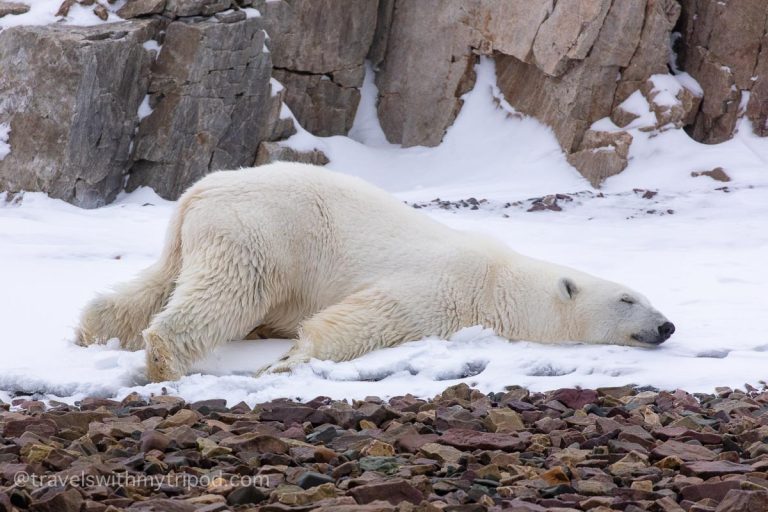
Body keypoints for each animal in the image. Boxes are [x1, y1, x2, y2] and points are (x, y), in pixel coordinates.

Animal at [76, 162, 675, 382]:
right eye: (627, 299)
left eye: (647, 297)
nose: (667, 325)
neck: (501, 283)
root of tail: (198, 192)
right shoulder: (446, 288)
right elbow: (369, 318)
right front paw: (289, 360)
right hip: (262, 233)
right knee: (229, 292)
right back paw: (164, 361)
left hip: (195, 238)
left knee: (157, 285)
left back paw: (91, 332)